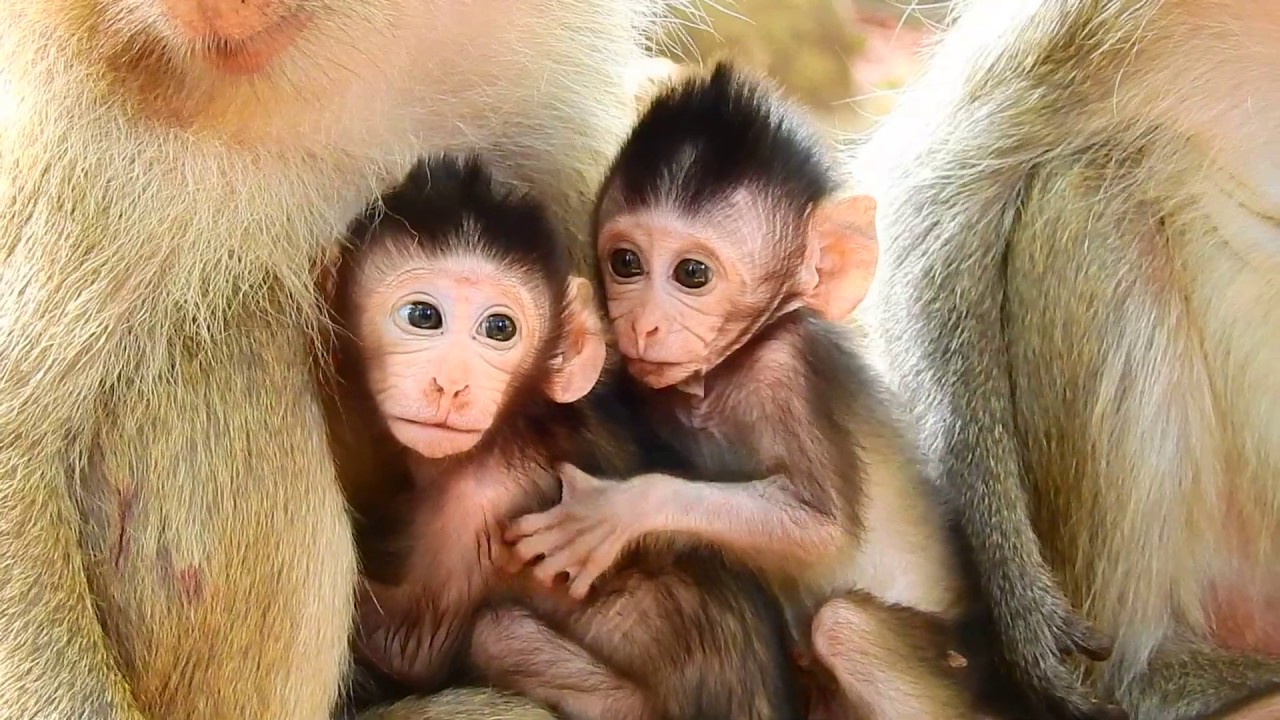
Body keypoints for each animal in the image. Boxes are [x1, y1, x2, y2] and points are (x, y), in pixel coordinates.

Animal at [333, 154, 801, 720]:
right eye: (423, 316)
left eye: (499, 329)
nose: (452, 386)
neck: (515, 423)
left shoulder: (480, 501)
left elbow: (413, 652)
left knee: (496, 632)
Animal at [503, 62, 1002, 720]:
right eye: (626, 263)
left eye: (692, 274)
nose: (642, 324)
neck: (723, 375)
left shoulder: (783, 373)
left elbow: (821, 528)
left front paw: (621, 510)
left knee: (845, 630)